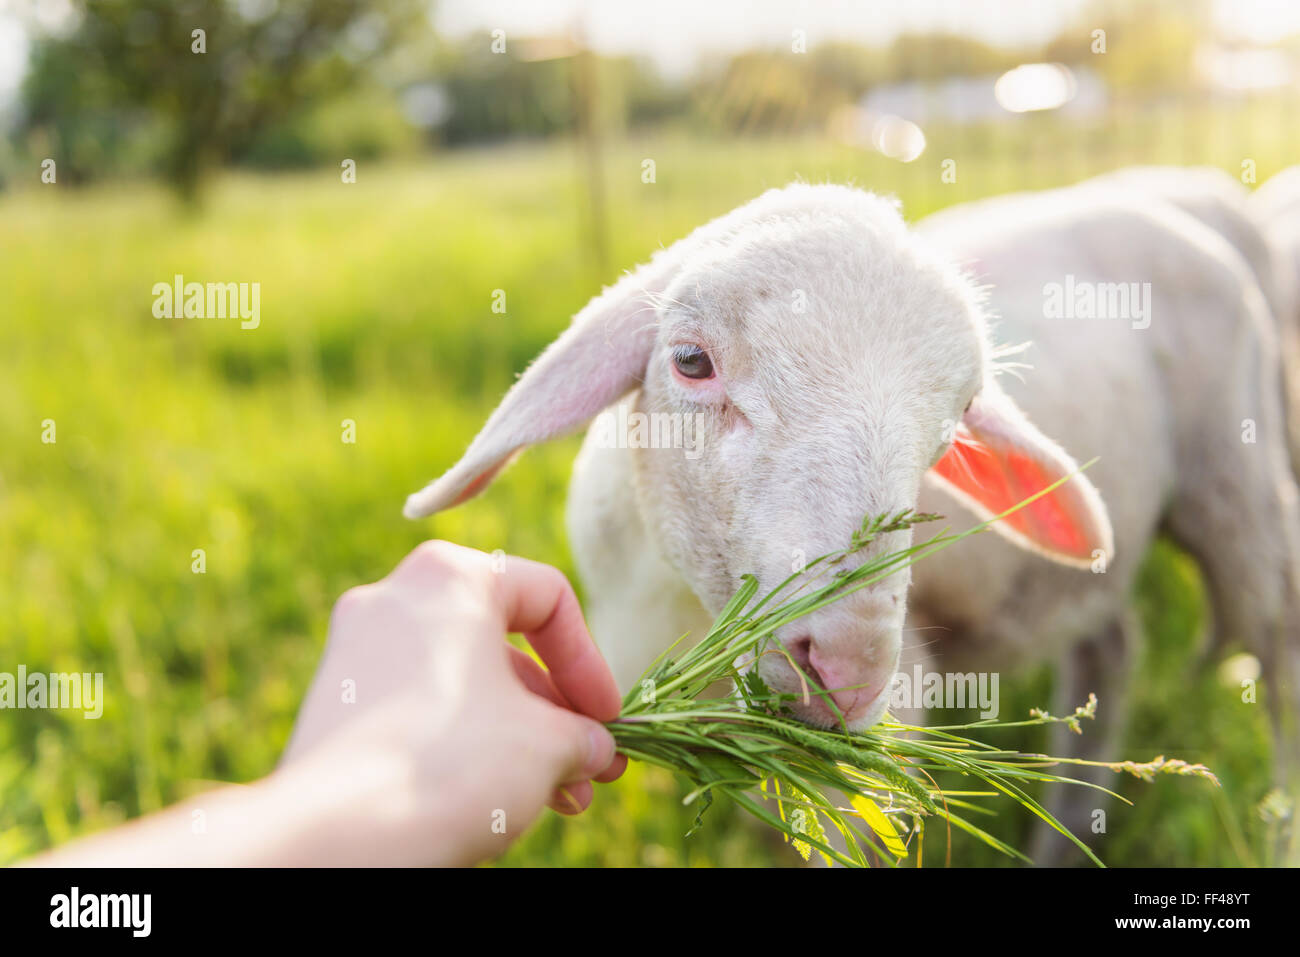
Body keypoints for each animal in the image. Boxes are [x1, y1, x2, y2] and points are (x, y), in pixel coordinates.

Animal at [404, 182, 1299, 864]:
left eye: (960, 415)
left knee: (1278, 649)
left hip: (1240, 481)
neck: (681, 603)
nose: (848, 666)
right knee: (1109, 648)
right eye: (690, 361)